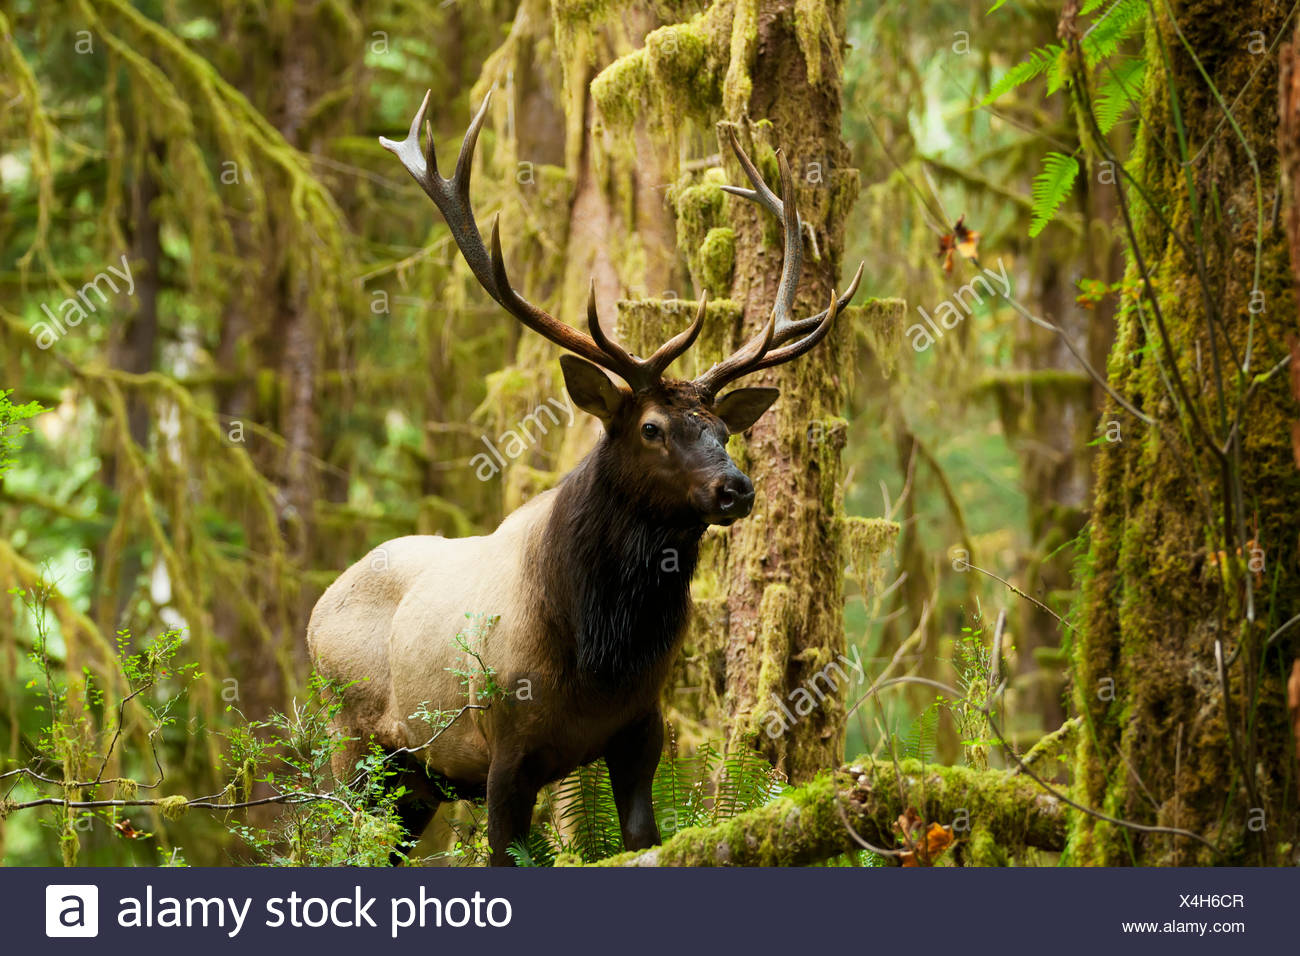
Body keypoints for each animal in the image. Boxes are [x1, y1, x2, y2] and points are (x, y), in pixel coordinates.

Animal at [306, 89, 864, 866]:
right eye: (651, 428)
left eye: (723, 432)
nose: (738, 488)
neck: (602, 653)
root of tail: (316, 610)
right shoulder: (503, 748)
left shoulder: (640, 729)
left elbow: (640, 839)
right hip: (352, 745)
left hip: (417, 781)